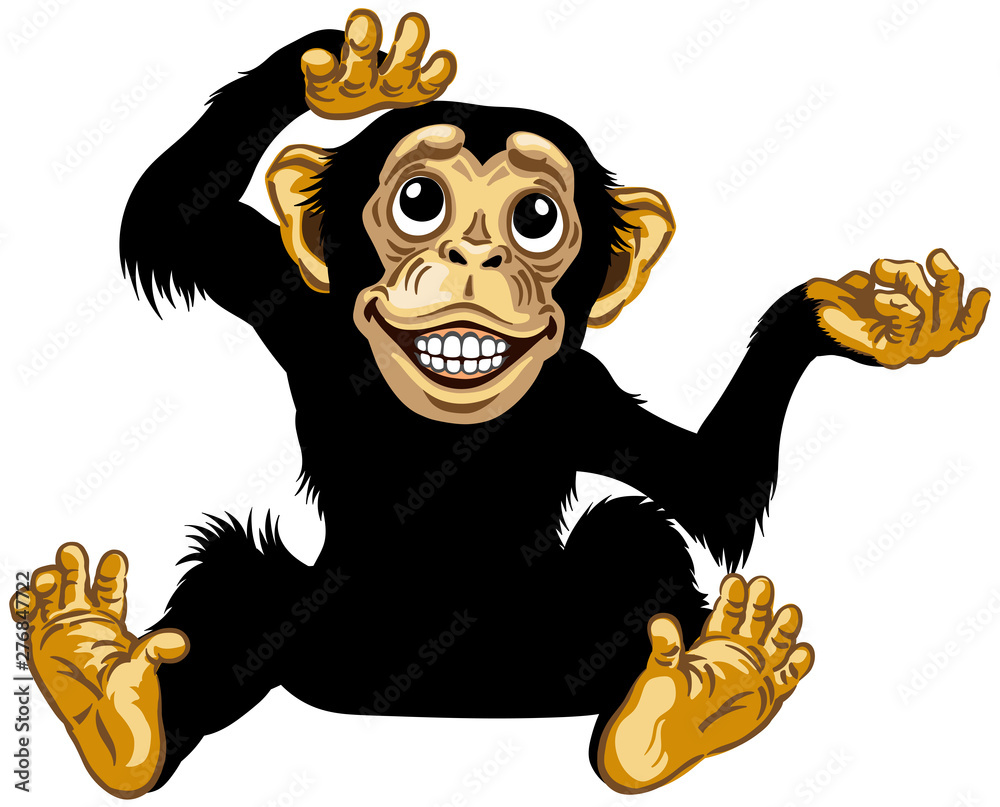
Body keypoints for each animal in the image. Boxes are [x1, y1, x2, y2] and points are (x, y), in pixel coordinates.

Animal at [9, 9, 989, 799]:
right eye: (419, 200)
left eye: (536, 219)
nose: (477, 255)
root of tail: (452, 705)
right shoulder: (299, 313)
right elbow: (180, 219)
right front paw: (338, 69)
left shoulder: (582, 395)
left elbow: (711, 487)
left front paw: (849, 316)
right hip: (317, 636)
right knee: (239, 583)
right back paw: (111, 703)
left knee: (633, 546)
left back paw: (680, 709)